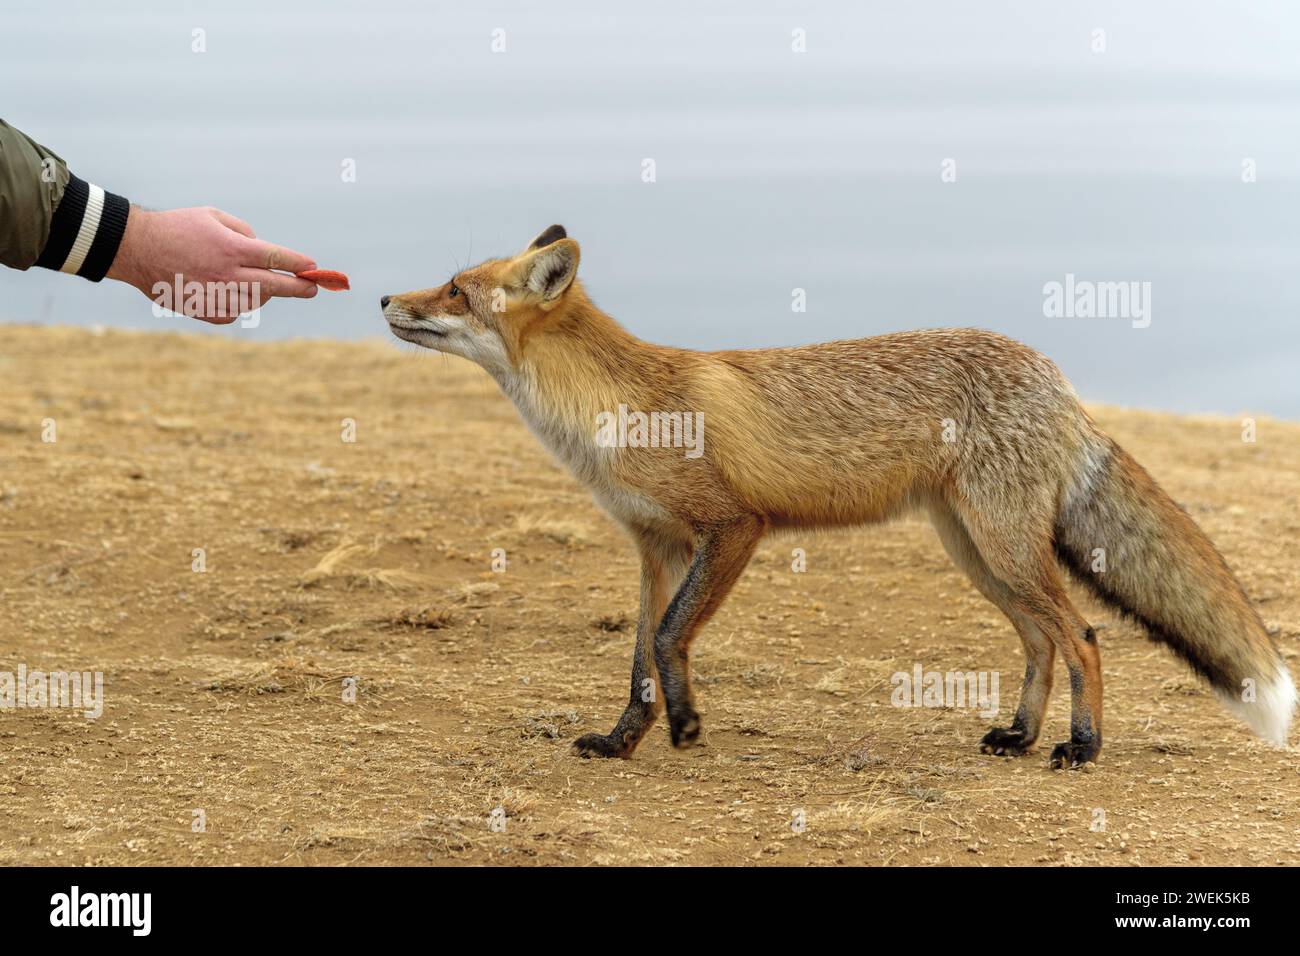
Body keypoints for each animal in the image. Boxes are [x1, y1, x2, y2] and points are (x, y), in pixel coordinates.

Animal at [382, 225, 1296, 767]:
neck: (620, 408)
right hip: (975, 552)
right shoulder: (655, 547)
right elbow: (639, 656)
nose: (385, 296)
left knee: (1085, 635)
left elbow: (671, 638)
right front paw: (623, 740)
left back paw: (1081, 745)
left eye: (456, 290)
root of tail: (1055, 377)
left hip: (1001, 548)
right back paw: (1020, 733)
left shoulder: (733, 527)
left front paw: (686, 727)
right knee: (1041, 640)